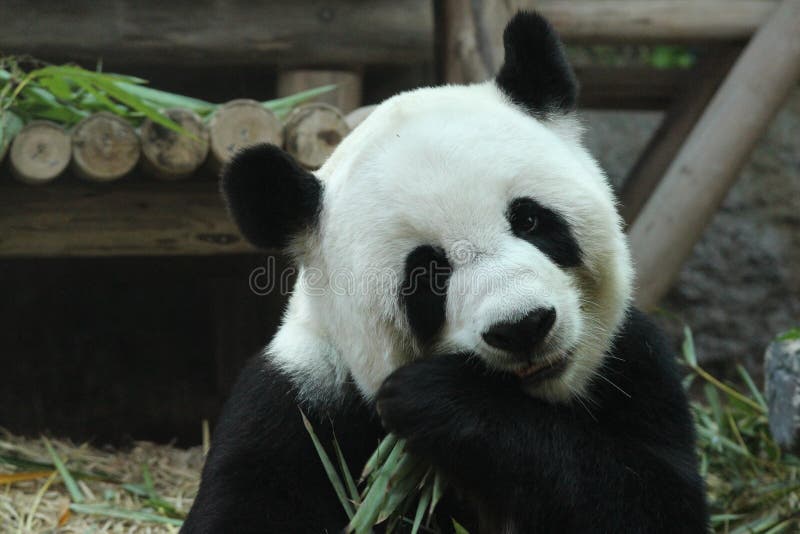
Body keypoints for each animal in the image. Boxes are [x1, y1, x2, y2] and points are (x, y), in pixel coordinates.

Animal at [183, 12, 708, 534]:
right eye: (428, 274)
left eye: (530, 220)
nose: (523, 327)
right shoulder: (299, 399)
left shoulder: (634, 364)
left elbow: (649, 500)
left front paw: (445, 399)